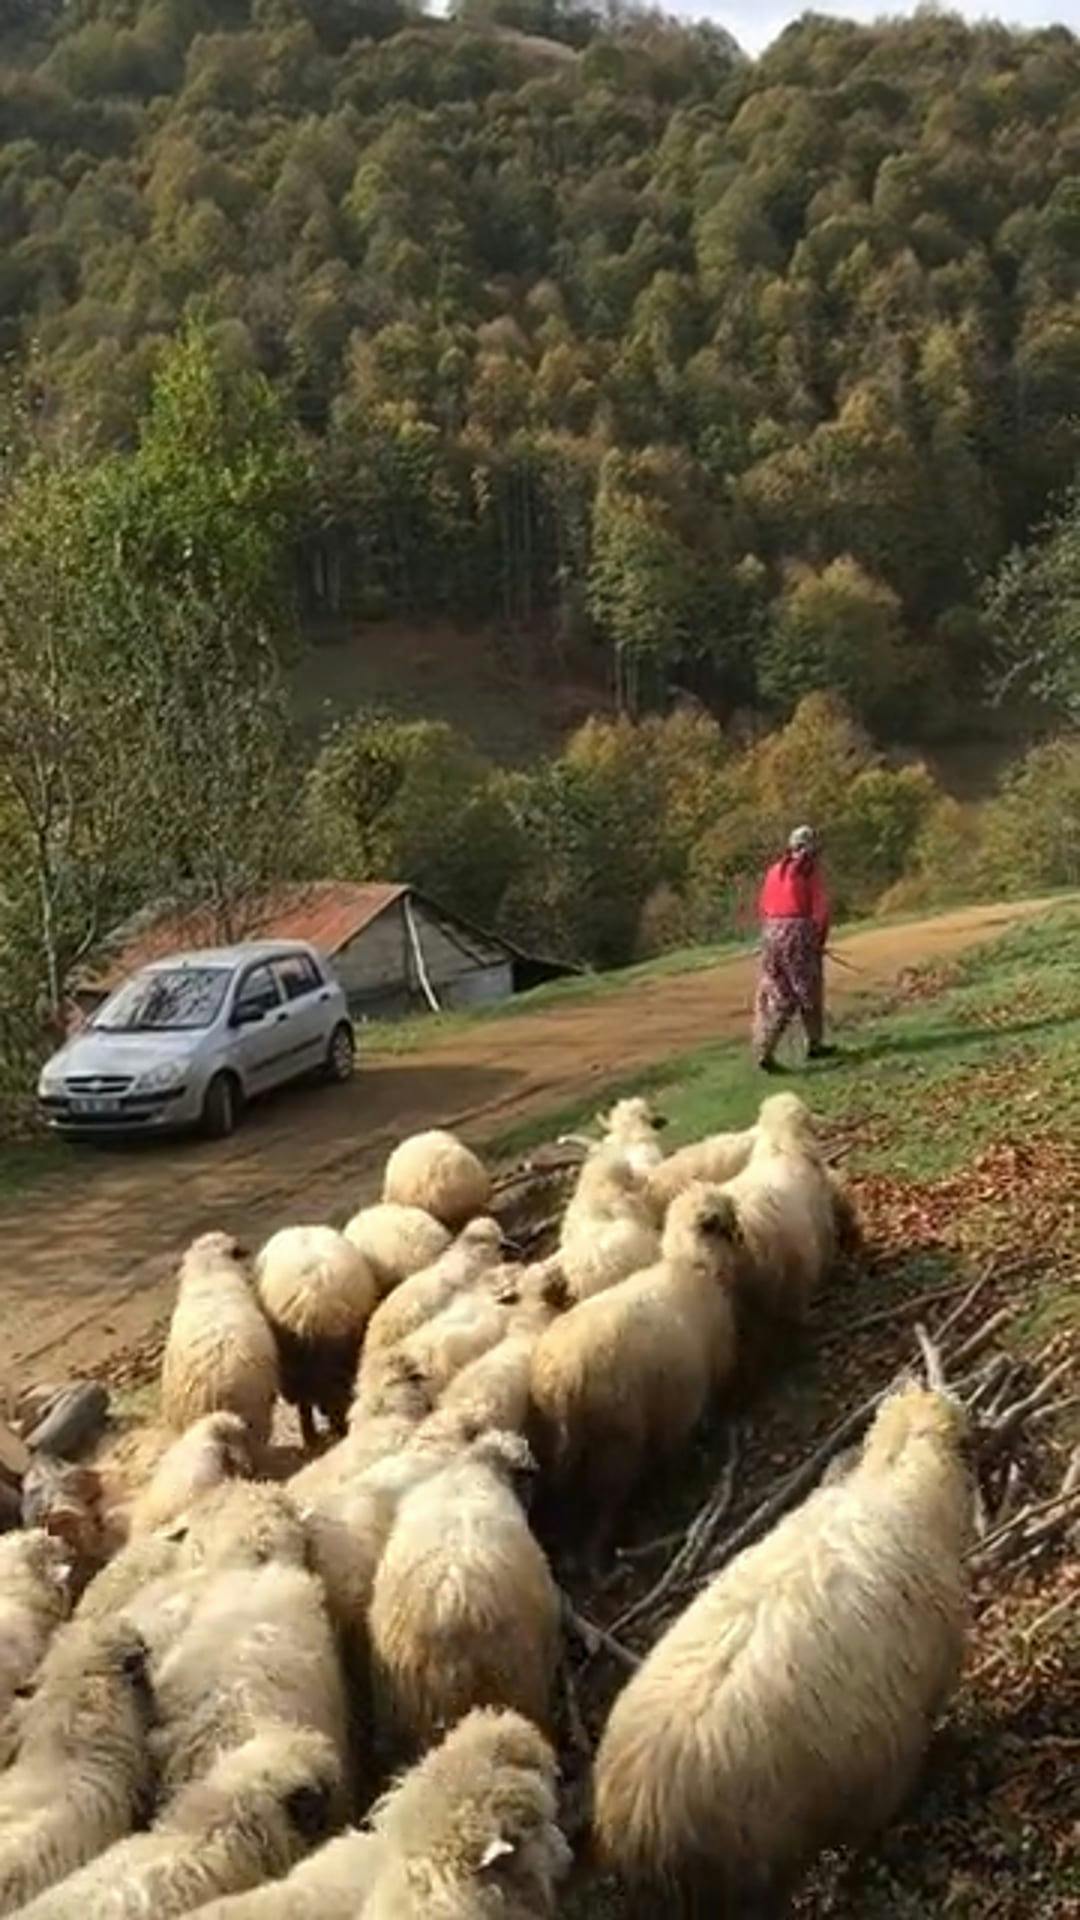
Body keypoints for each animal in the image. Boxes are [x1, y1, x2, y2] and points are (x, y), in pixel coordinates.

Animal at [530, 1183, 741, 1559]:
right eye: (728, 1217)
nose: (743, 1236)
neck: (694, 1266)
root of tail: (559, 1387)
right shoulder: (709, 1372)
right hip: (617, 1438)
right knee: (606, 1500)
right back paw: (598, 1550)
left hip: (560, 1450)